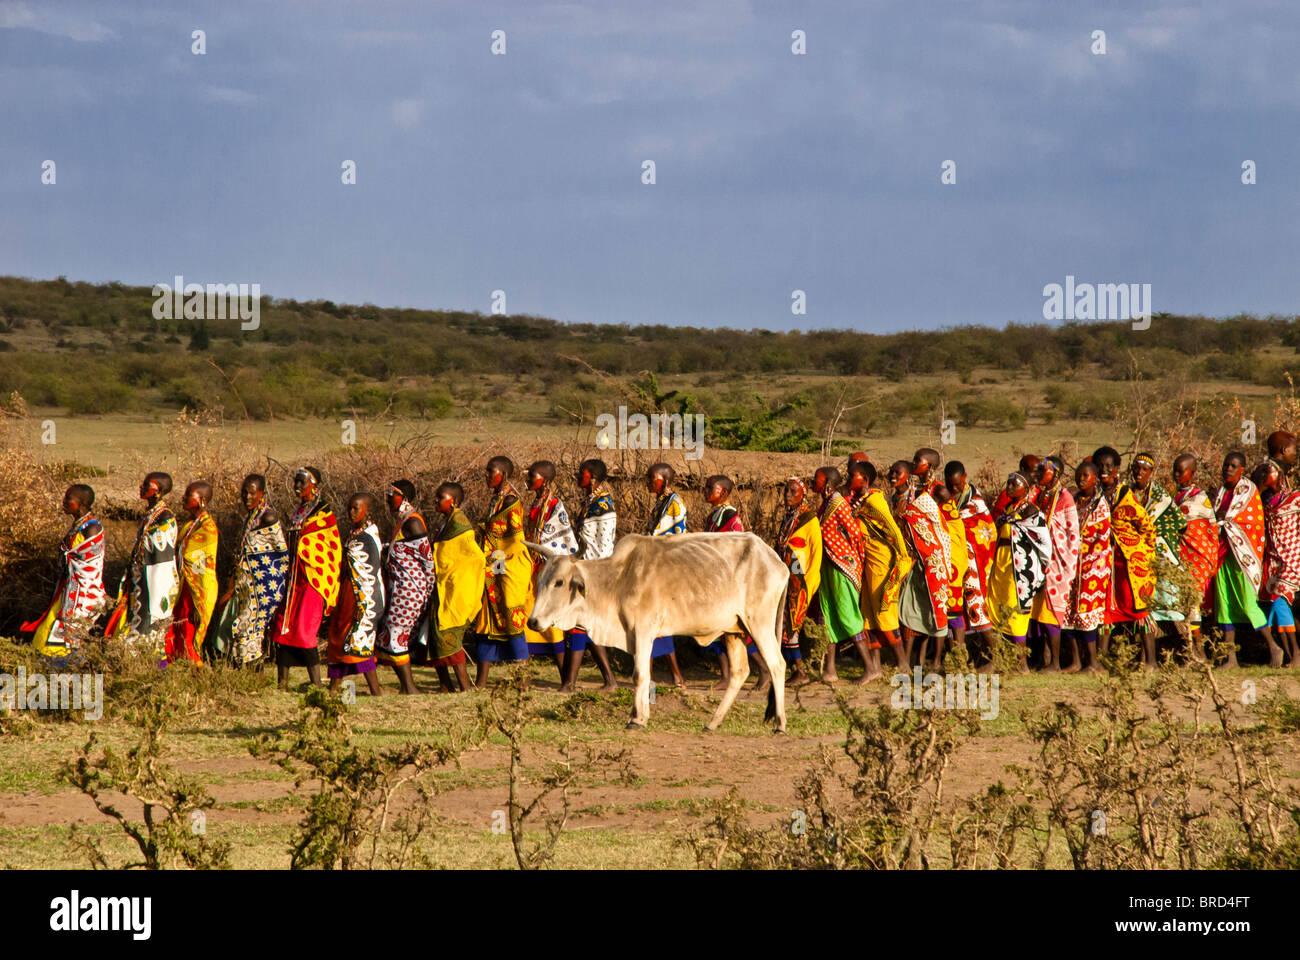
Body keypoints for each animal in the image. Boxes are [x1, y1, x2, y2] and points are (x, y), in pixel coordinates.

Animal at [526, 532, 788, 733]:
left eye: (559, 582)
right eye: (540, 581)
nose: (533, 621)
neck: (618, 579)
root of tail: (776, 560)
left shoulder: (643, 630)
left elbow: (639, 675)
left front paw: (637, 719)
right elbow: (644, 675)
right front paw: (640, 715)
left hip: (760, 623)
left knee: (777, 665)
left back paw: (780, 723)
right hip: (734, 630)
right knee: (739, 672)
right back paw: (713, 723)